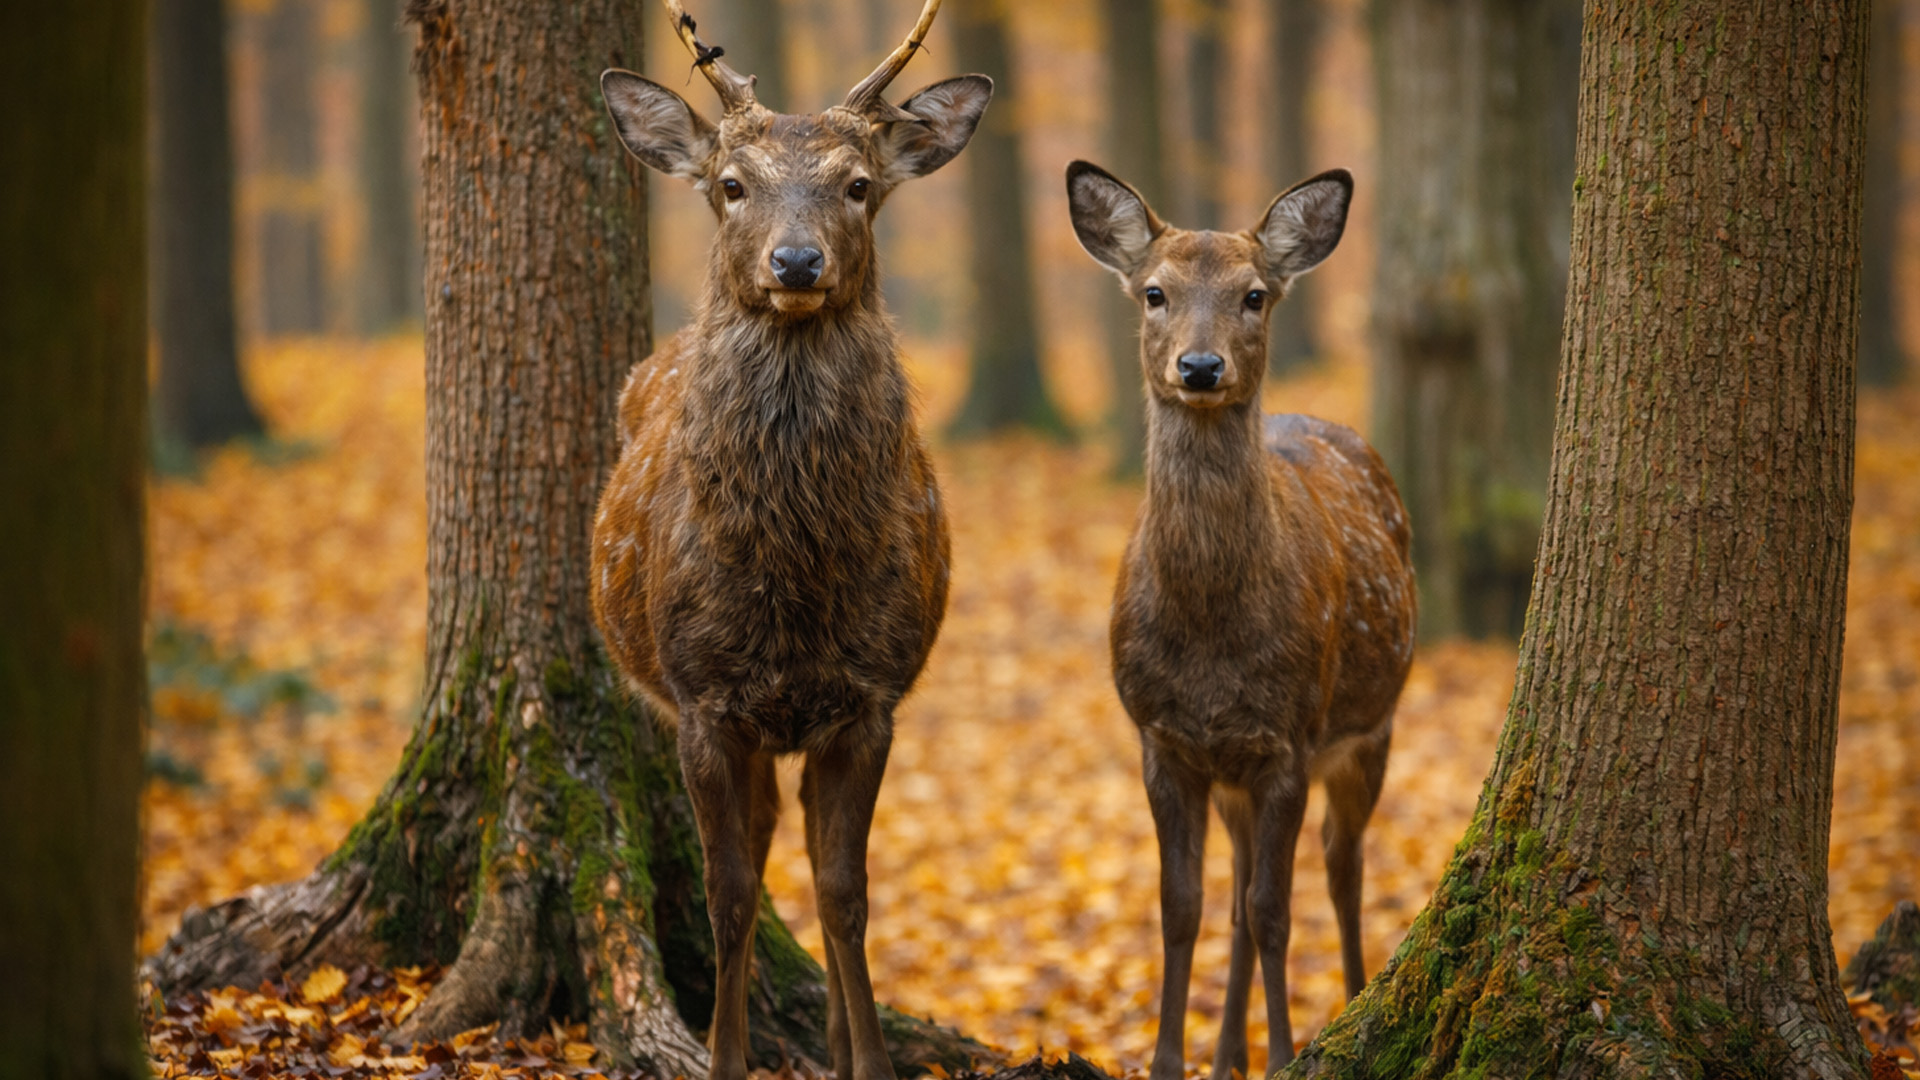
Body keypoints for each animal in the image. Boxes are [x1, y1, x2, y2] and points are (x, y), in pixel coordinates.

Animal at [588, 5, 989, 1080]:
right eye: (732, 185)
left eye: (858, 185)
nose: (798, 264)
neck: (795, 581)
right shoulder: (701, 697)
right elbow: (728, 898)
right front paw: (724, 1059)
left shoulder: (870, 695)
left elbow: (847, 894)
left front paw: (871, 1062)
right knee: (768, 845)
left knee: (803, 853)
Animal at [1066, 160, 1417, 1077]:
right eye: (1154, 291)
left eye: (1254, 294)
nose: (1198, 365)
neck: (1212, 640)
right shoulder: (1163, 739)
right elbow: (1183, 906)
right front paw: (1168, 1062)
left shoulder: (1288, 738)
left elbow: (1274, 912)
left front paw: (1287, 1054)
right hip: (1235, 778)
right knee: (1237, 897)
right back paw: (1226, 1053)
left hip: (1370, 729)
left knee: (1341, 870)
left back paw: (1353, 996)